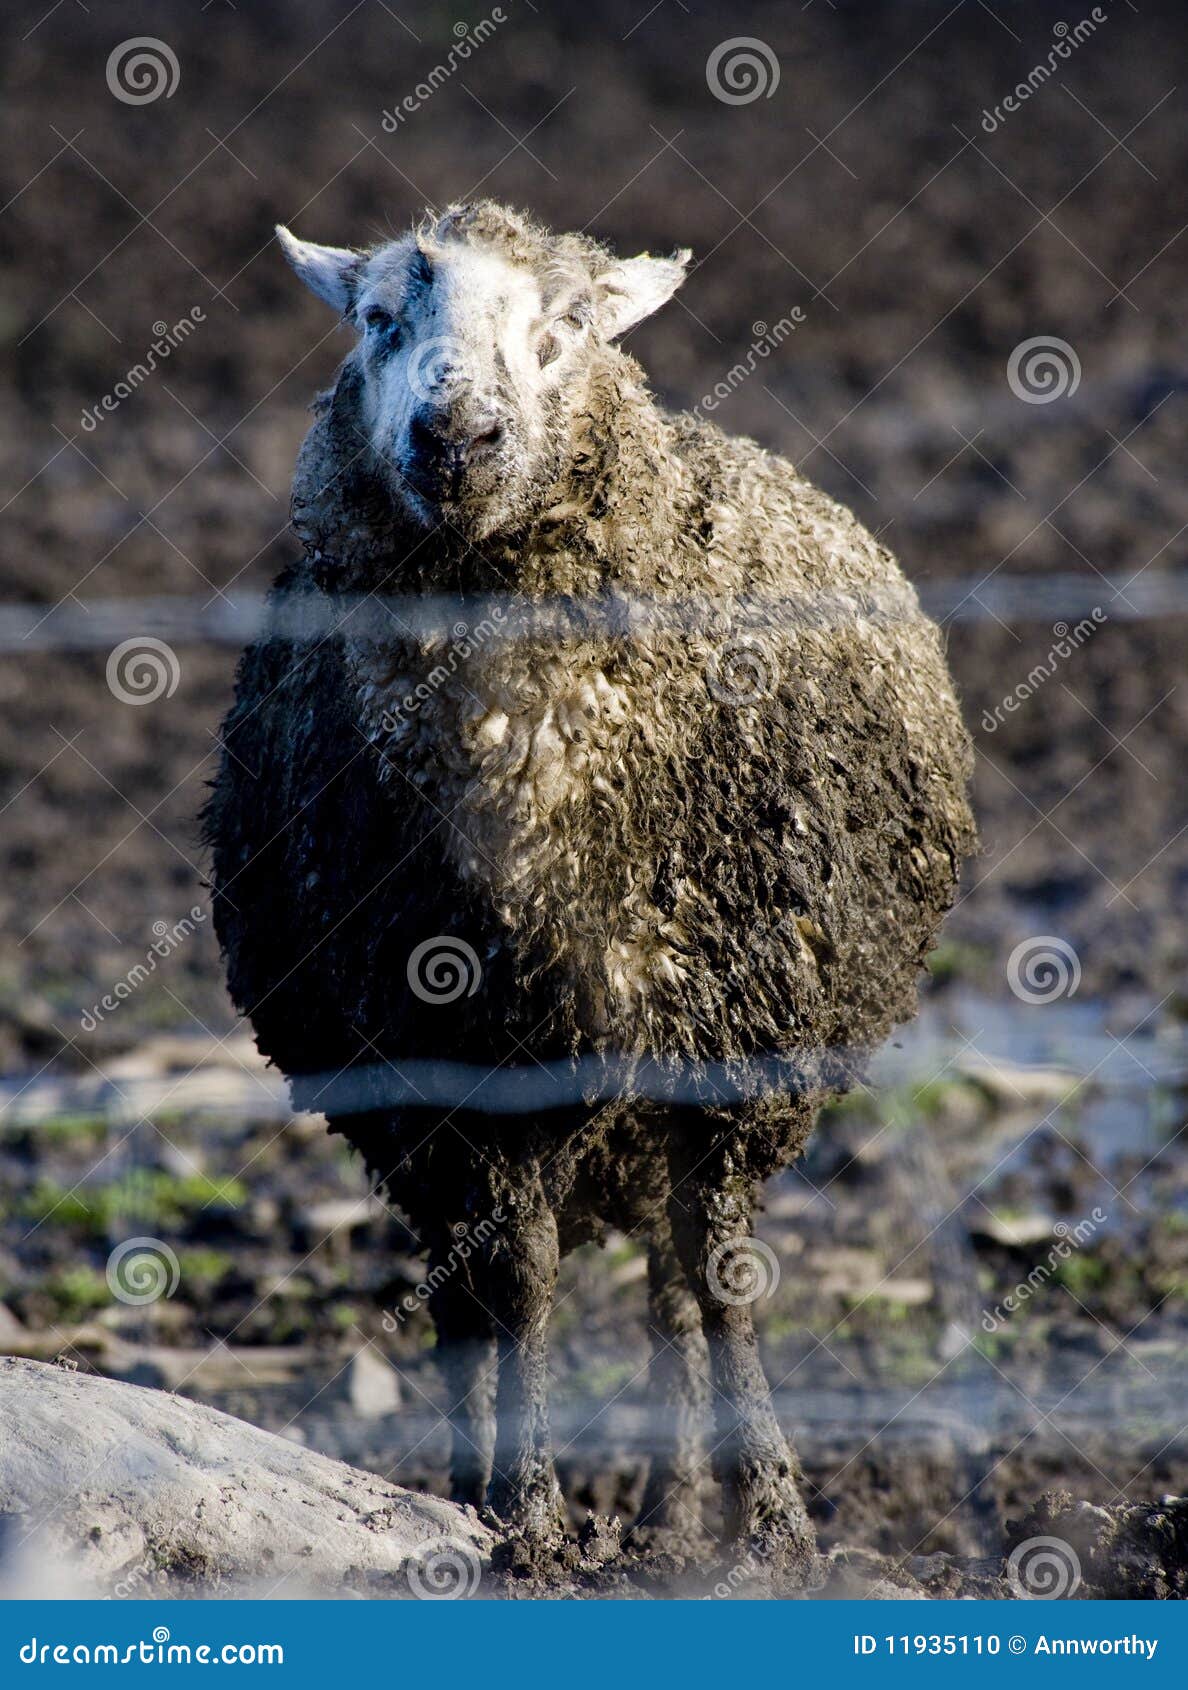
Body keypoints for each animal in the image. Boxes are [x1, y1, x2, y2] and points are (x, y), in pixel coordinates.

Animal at [205, 200, 976, 1580]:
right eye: (379, 318)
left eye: (567, 322)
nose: (457, 436)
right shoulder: (466, 1070)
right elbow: (517, 1291)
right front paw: (533, 1521)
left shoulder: (734, 1050)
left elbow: (721, 1279)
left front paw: (774, 1528)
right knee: (468, 1300)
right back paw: (493, 1498)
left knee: (668, 1287)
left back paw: (679, 1517)